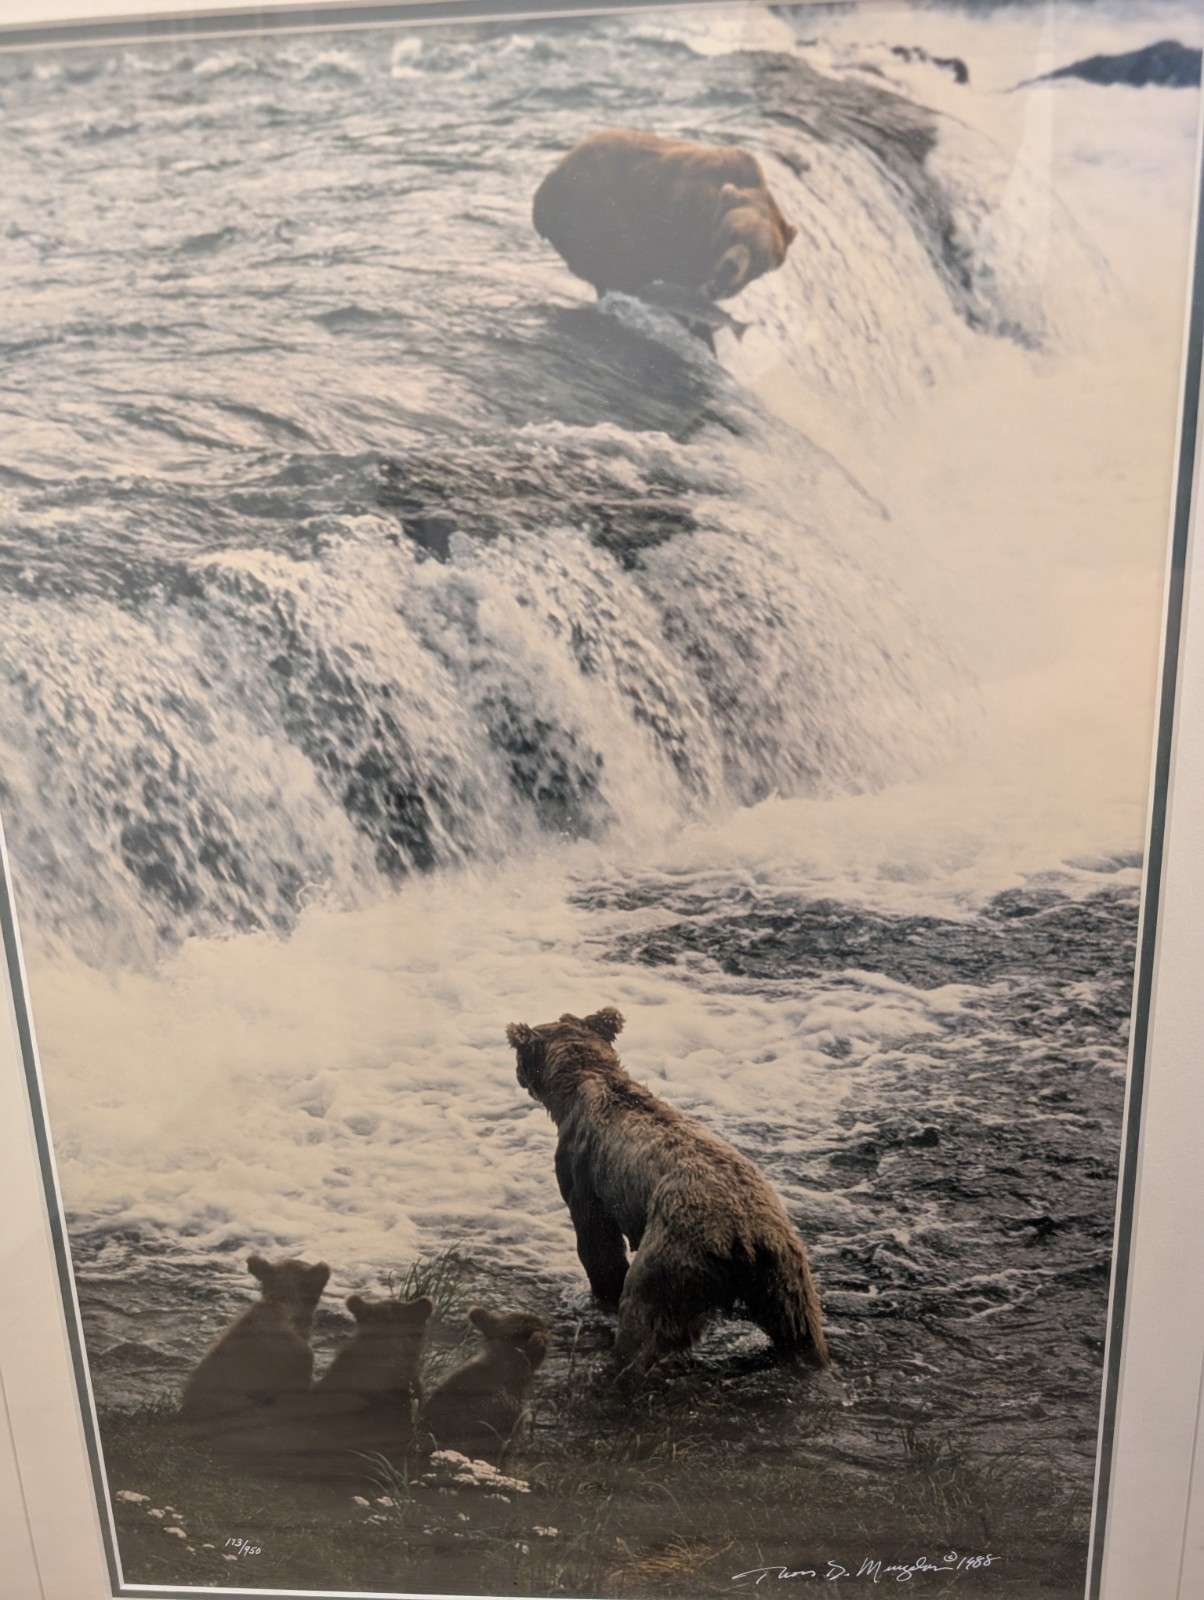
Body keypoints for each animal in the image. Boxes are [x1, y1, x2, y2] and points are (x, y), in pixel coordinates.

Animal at [505, 1008, 828, 1378]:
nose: (517, 1074)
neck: (584, 1083)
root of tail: (744, 1239)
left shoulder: (583, 1170)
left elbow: (598, 1244)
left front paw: (600, 1295)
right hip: (785, 1275)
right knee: (800, 1331)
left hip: (673, 1260)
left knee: (643, 1322)